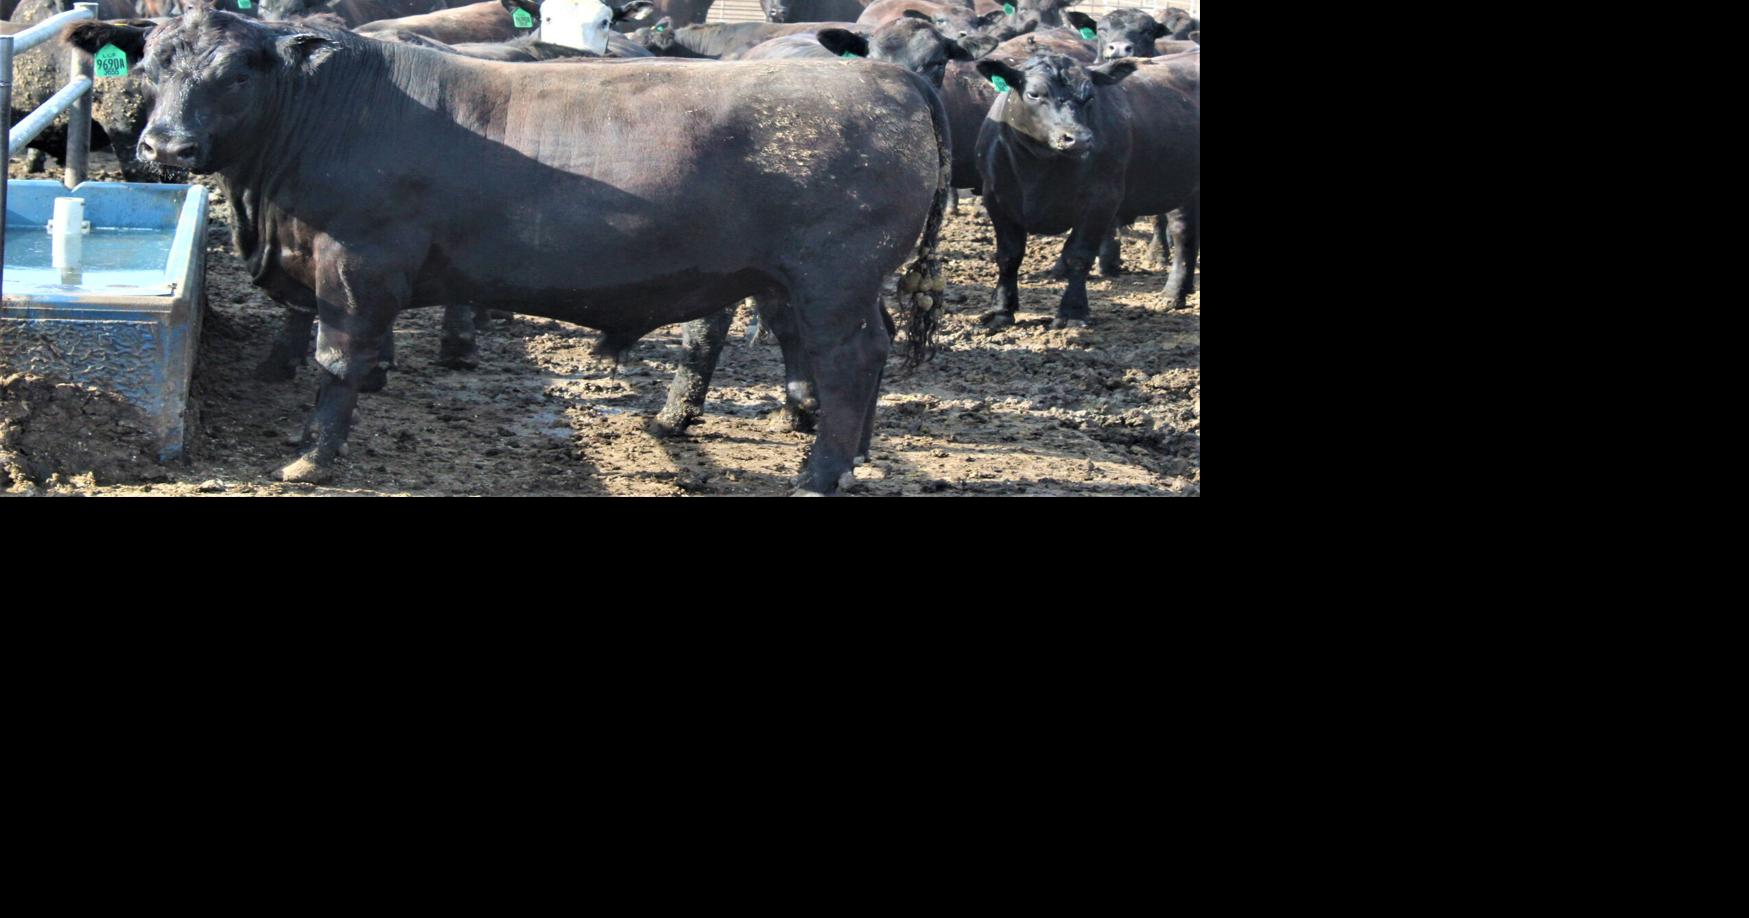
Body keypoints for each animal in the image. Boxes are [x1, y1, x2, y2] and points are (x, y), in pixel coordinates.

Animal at [65, 8, 949, 494]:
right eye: (151, 65)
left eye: (236, 74)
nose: (165, 144)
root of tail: (886, 80)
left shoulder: (356, 264)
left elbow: (337, 361)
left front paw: (313, 458)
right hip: (837, 284)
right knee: (867, 354)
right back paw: (854, 455)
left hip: (832, 280)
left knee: (848, 360)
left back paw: (822, 473)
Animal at [973, 52, 1199, 329]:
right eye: (1034, 94)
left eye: (1090, 96)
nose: (1078, 138)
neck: (1039, 169)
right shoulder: (996, 200)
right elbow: (1008, 256)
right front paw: (1001, 310)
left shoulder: (1101, 201)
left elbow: (1078, 256)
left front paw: (1072, 311)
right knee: (1184, 233)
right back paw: (1176, 294)